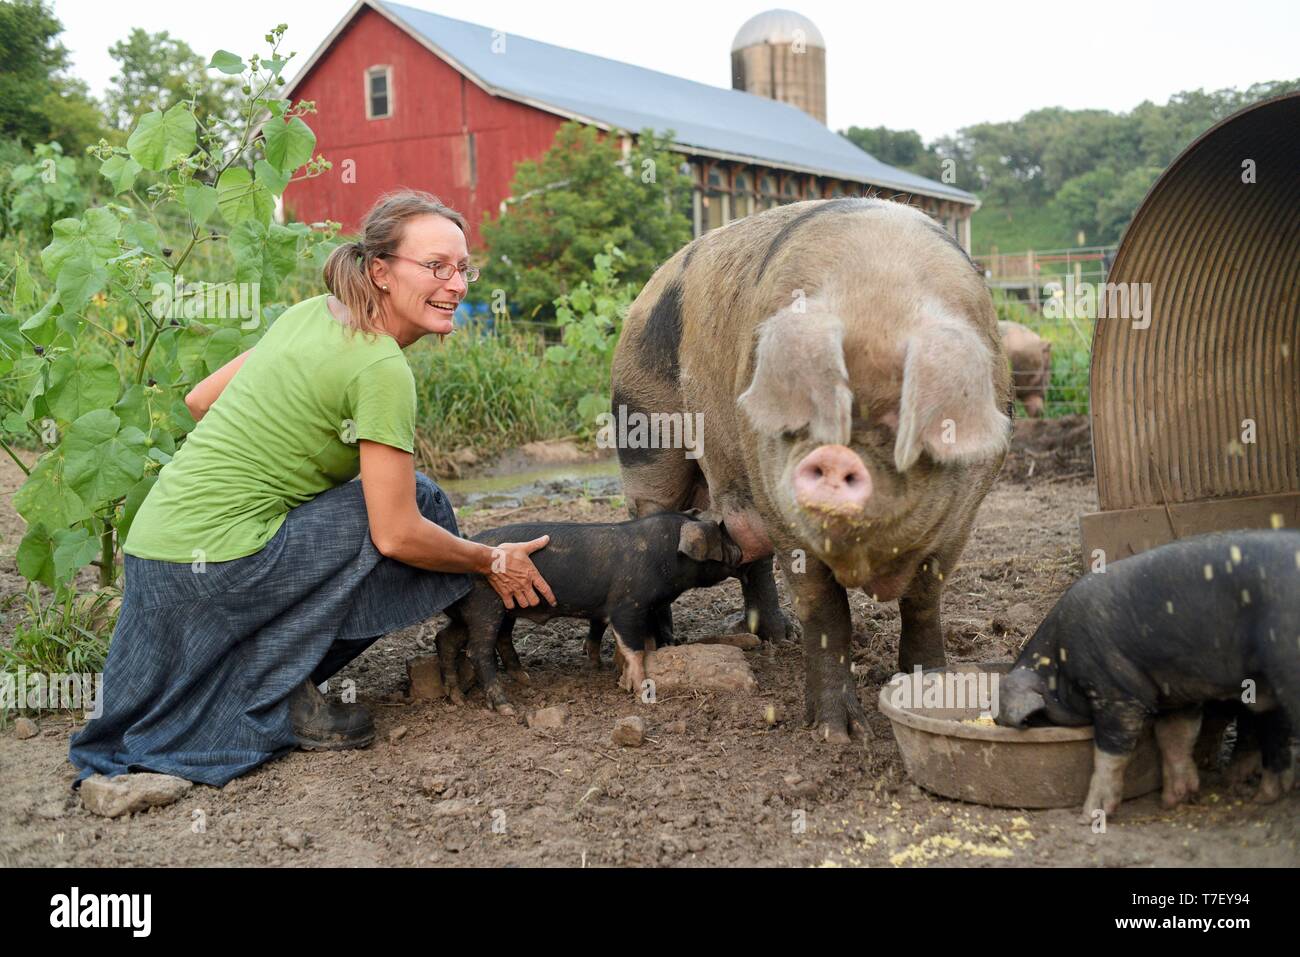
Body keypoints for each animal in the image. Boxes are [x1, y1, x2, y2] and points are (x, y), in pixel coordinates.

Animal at [436, 513, 742, 715]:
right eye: (722, 537)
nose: (741, 550)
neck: (663, 555)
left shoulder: (637, 608)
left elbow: (638, 640)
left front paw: (606, 670)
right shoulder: (628, 605)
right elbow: (634, 647)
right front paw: (638, 689)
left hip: (479, 612)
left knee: (445, 638)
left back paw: (462, 697)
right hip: (485, 606)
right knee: (478, 651)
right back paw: (507, 707)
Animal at [611, 198, 1013, 743]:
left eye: (896, 417)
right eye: (807, 408)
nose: (835, 456)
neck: (875, 301)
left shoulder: (965, 513)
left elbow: (925, 597)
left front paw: (927, 682)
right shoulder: (783, 513)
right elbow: (826, 610)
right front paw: (838, 735)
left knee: (748, 552)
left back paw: (776, 637)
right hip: (643, 427)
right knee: (652, 520)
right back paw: (665, 645)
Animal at [995, 530, 1300, 822]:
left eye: (1036, 717)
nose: (998, 721)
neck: (1060, 658)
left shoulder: (1114, 690)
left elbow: (1111, 749)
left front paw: (1088, 816)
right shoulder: (1175, 691)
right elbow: (1175, 736)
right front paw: (1174, 801)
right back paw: (1262, 795)